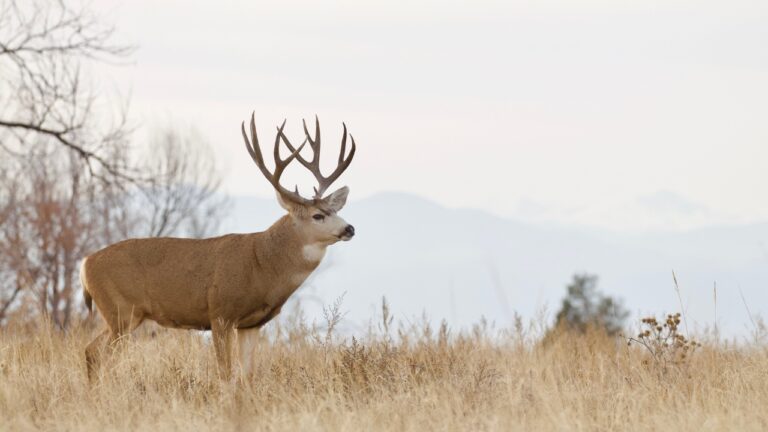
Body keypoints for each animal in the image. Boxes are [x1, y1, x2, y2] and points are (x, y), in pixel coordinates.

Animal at [81, 113, 356, 380]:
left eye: (334, 210)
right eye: (317, 216)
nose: (349, 228)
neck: (262, 265)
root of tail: (85, 265)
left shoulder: (251, 324)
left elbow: (248, 376)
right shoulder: (220, 313)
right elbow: (225, 372)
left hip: (120, 315)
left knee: (92, 351)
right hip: (121, 310)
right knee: (95, 352)